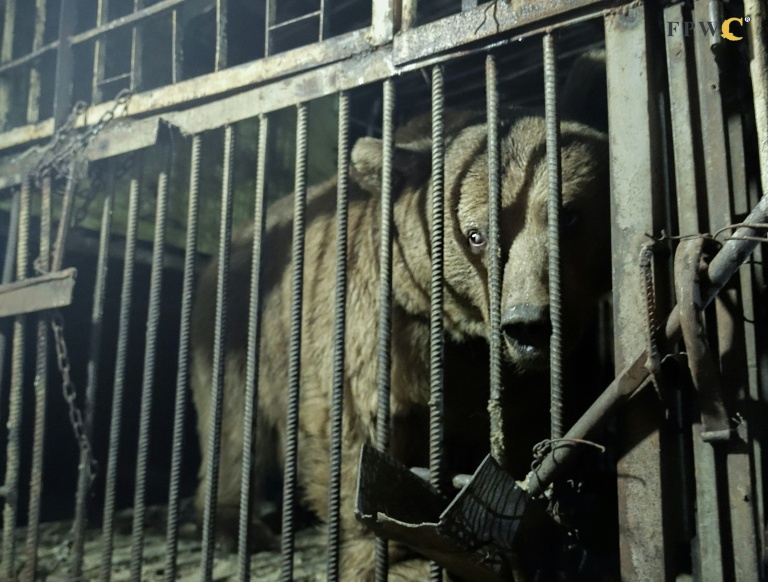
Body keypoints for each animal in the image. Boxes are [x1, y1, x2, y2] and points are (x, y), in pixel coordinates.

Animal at [190, 55, 610, 580]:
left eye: (569, 216)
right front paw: (385, 556)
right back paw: (232, 526)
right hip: (238, 329)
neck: (458, 330)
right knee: (230, 425)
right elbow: (357, 434)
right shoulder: (374, 331)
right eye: (475, 234)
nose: (530, 324)